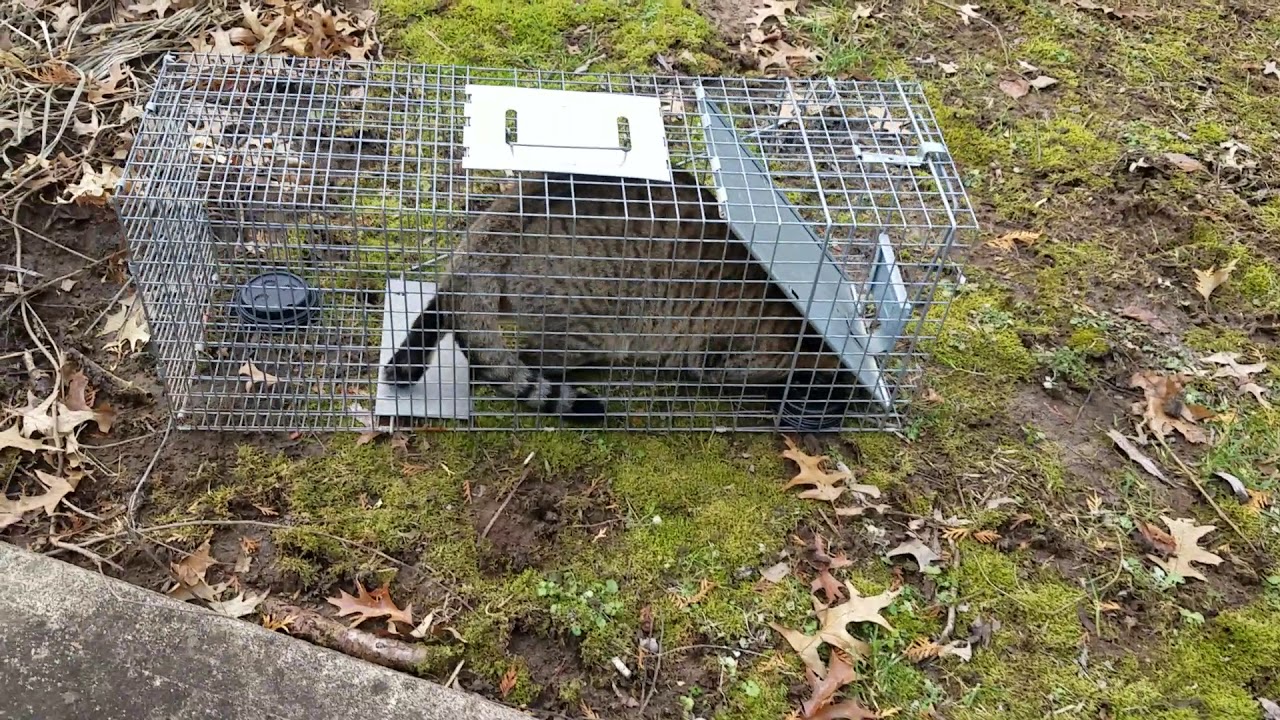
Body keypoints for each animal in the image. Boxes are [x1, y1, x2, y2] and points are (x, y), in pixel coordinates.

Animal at [383, 170, 861, 428]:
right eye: (829, 397)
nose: (827, 422)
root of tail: (516, 207)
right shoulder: (727, 351)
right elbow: (720, 370)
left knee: (447, 308)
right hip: (593, 316)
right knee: (530, 355)